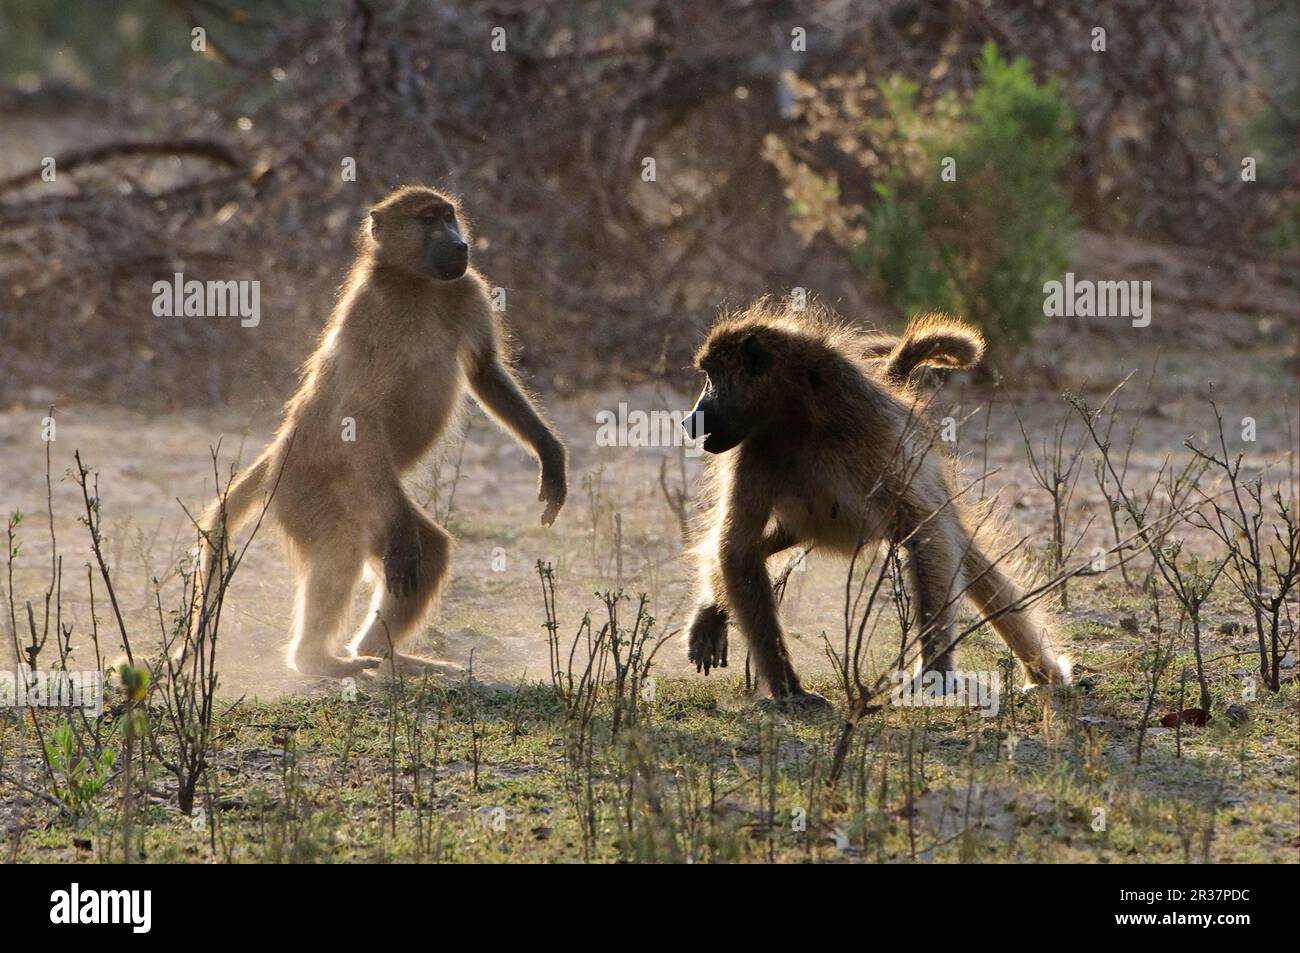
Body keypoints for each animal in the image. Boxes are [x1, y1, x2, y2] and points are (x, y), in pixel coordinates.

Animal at [191, 185, 568, 678]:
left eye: (448, 216)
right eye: (428, 220)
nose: (461, 246)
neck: (416, 283)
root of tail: (281, 450)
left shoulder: (466, 287)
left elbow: (485, 371)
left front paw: (551, 456)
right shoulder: (371, 312)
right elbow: (360, 413)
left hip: (365, 501)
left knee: (428, 552)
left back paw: (384, 655)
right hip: (317, 493)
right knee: (344, 542)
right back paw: (316, 660)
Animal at [681, 299, 1071, 709]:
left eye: (713, 377)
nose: (689, 420)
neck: (798, 413)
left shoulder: (872, 431)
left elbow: (927, 530)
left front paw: (936, 667)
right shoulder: (753, 451)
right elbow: (737, 549)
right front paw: (789, 689)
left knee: (963, 552)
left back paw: (1044, 675)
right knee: (757, 546)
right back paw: (711, 610)